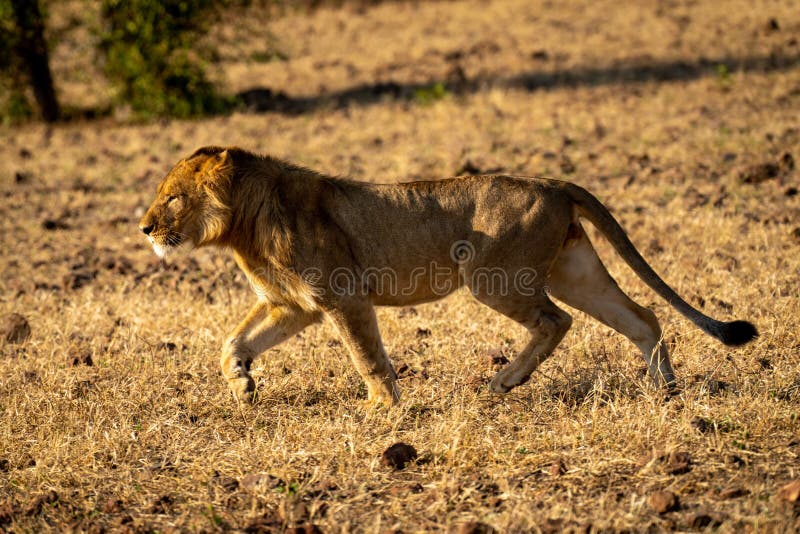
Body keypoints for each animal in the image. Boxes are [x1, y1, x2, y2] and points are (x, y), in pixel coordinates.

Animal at [139, 146, 757, 406]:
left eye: (171, 199)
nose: (144, 228)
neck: (242, 223)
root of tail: (553, 183)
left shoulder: (341, 296)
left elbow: (368, 356)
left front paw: (381, 408)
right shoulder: (292, 304)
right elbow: (233, 341)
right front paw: (242, 384)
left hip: (492, 275)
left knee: (555, 322)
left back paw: (505, 381)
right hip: (572, 270)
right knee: (641, 316)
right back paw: (666, 390)